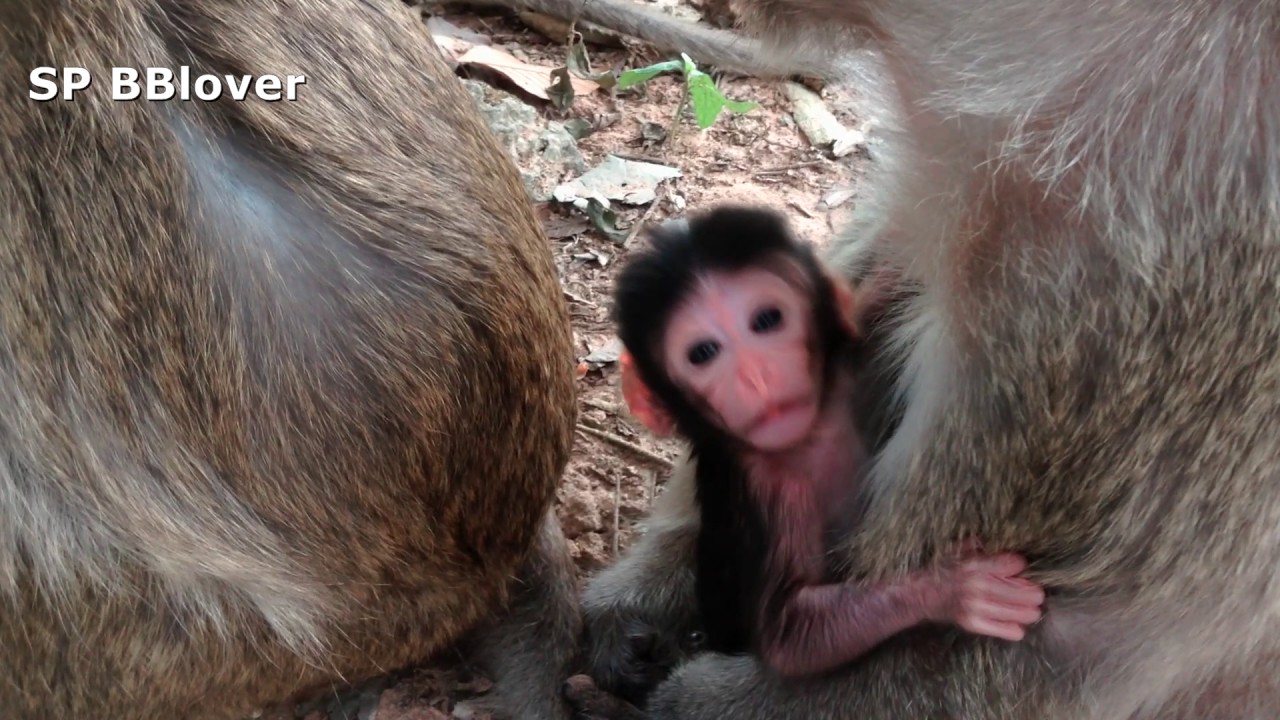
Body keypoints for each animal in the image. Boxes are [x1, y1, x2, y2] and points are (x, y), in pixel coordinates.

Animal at [610, 206, 1043, 682]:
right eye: (702, 353)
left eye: (766, 320)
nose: (757, 375)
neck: (813, 435)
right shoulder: (769, 490)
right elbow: (789, 635)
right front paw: (953, 589)